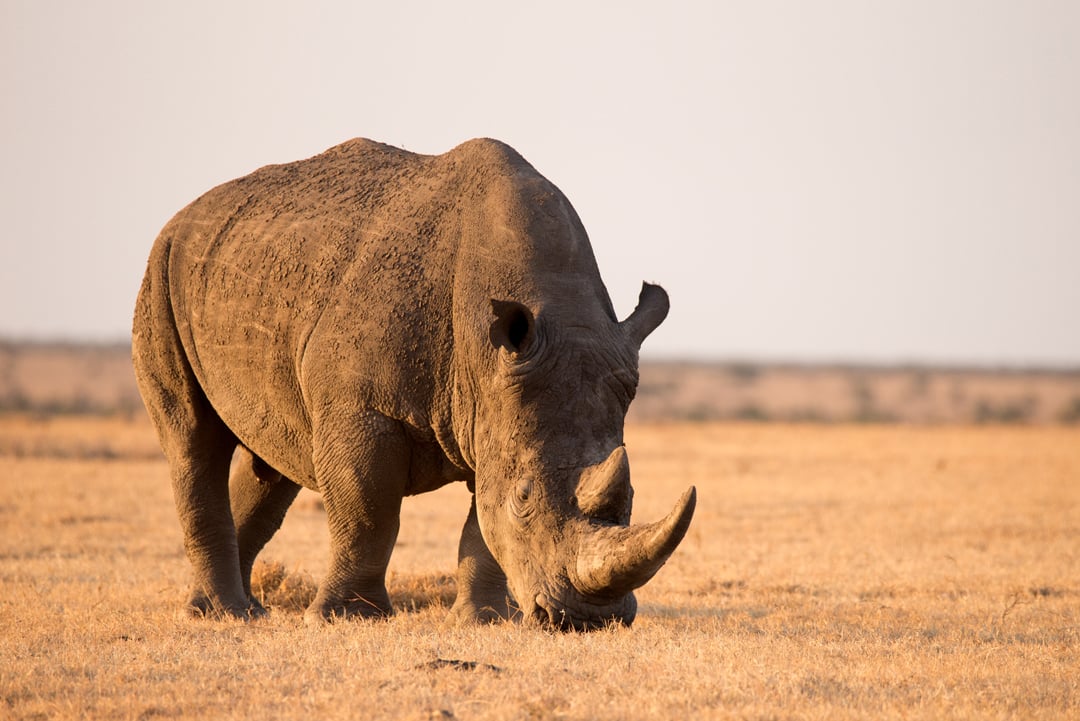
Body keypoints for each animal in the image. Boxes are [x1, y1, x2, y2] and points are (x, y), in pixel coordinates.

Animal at [132, 137, 696, 630]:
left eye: (632, 496)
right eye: (525, 497)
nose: (588, 620)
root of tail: (185, 214)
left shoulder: (492, 404)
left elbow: (480, 523)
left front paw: (482, 621)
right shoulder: (365, 409)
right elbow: (368, 510)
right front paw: (345, 619)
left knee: (273, 460)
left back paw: (240, 610)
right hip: (161, 270)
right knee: (193, 442)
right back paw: (221, 613)